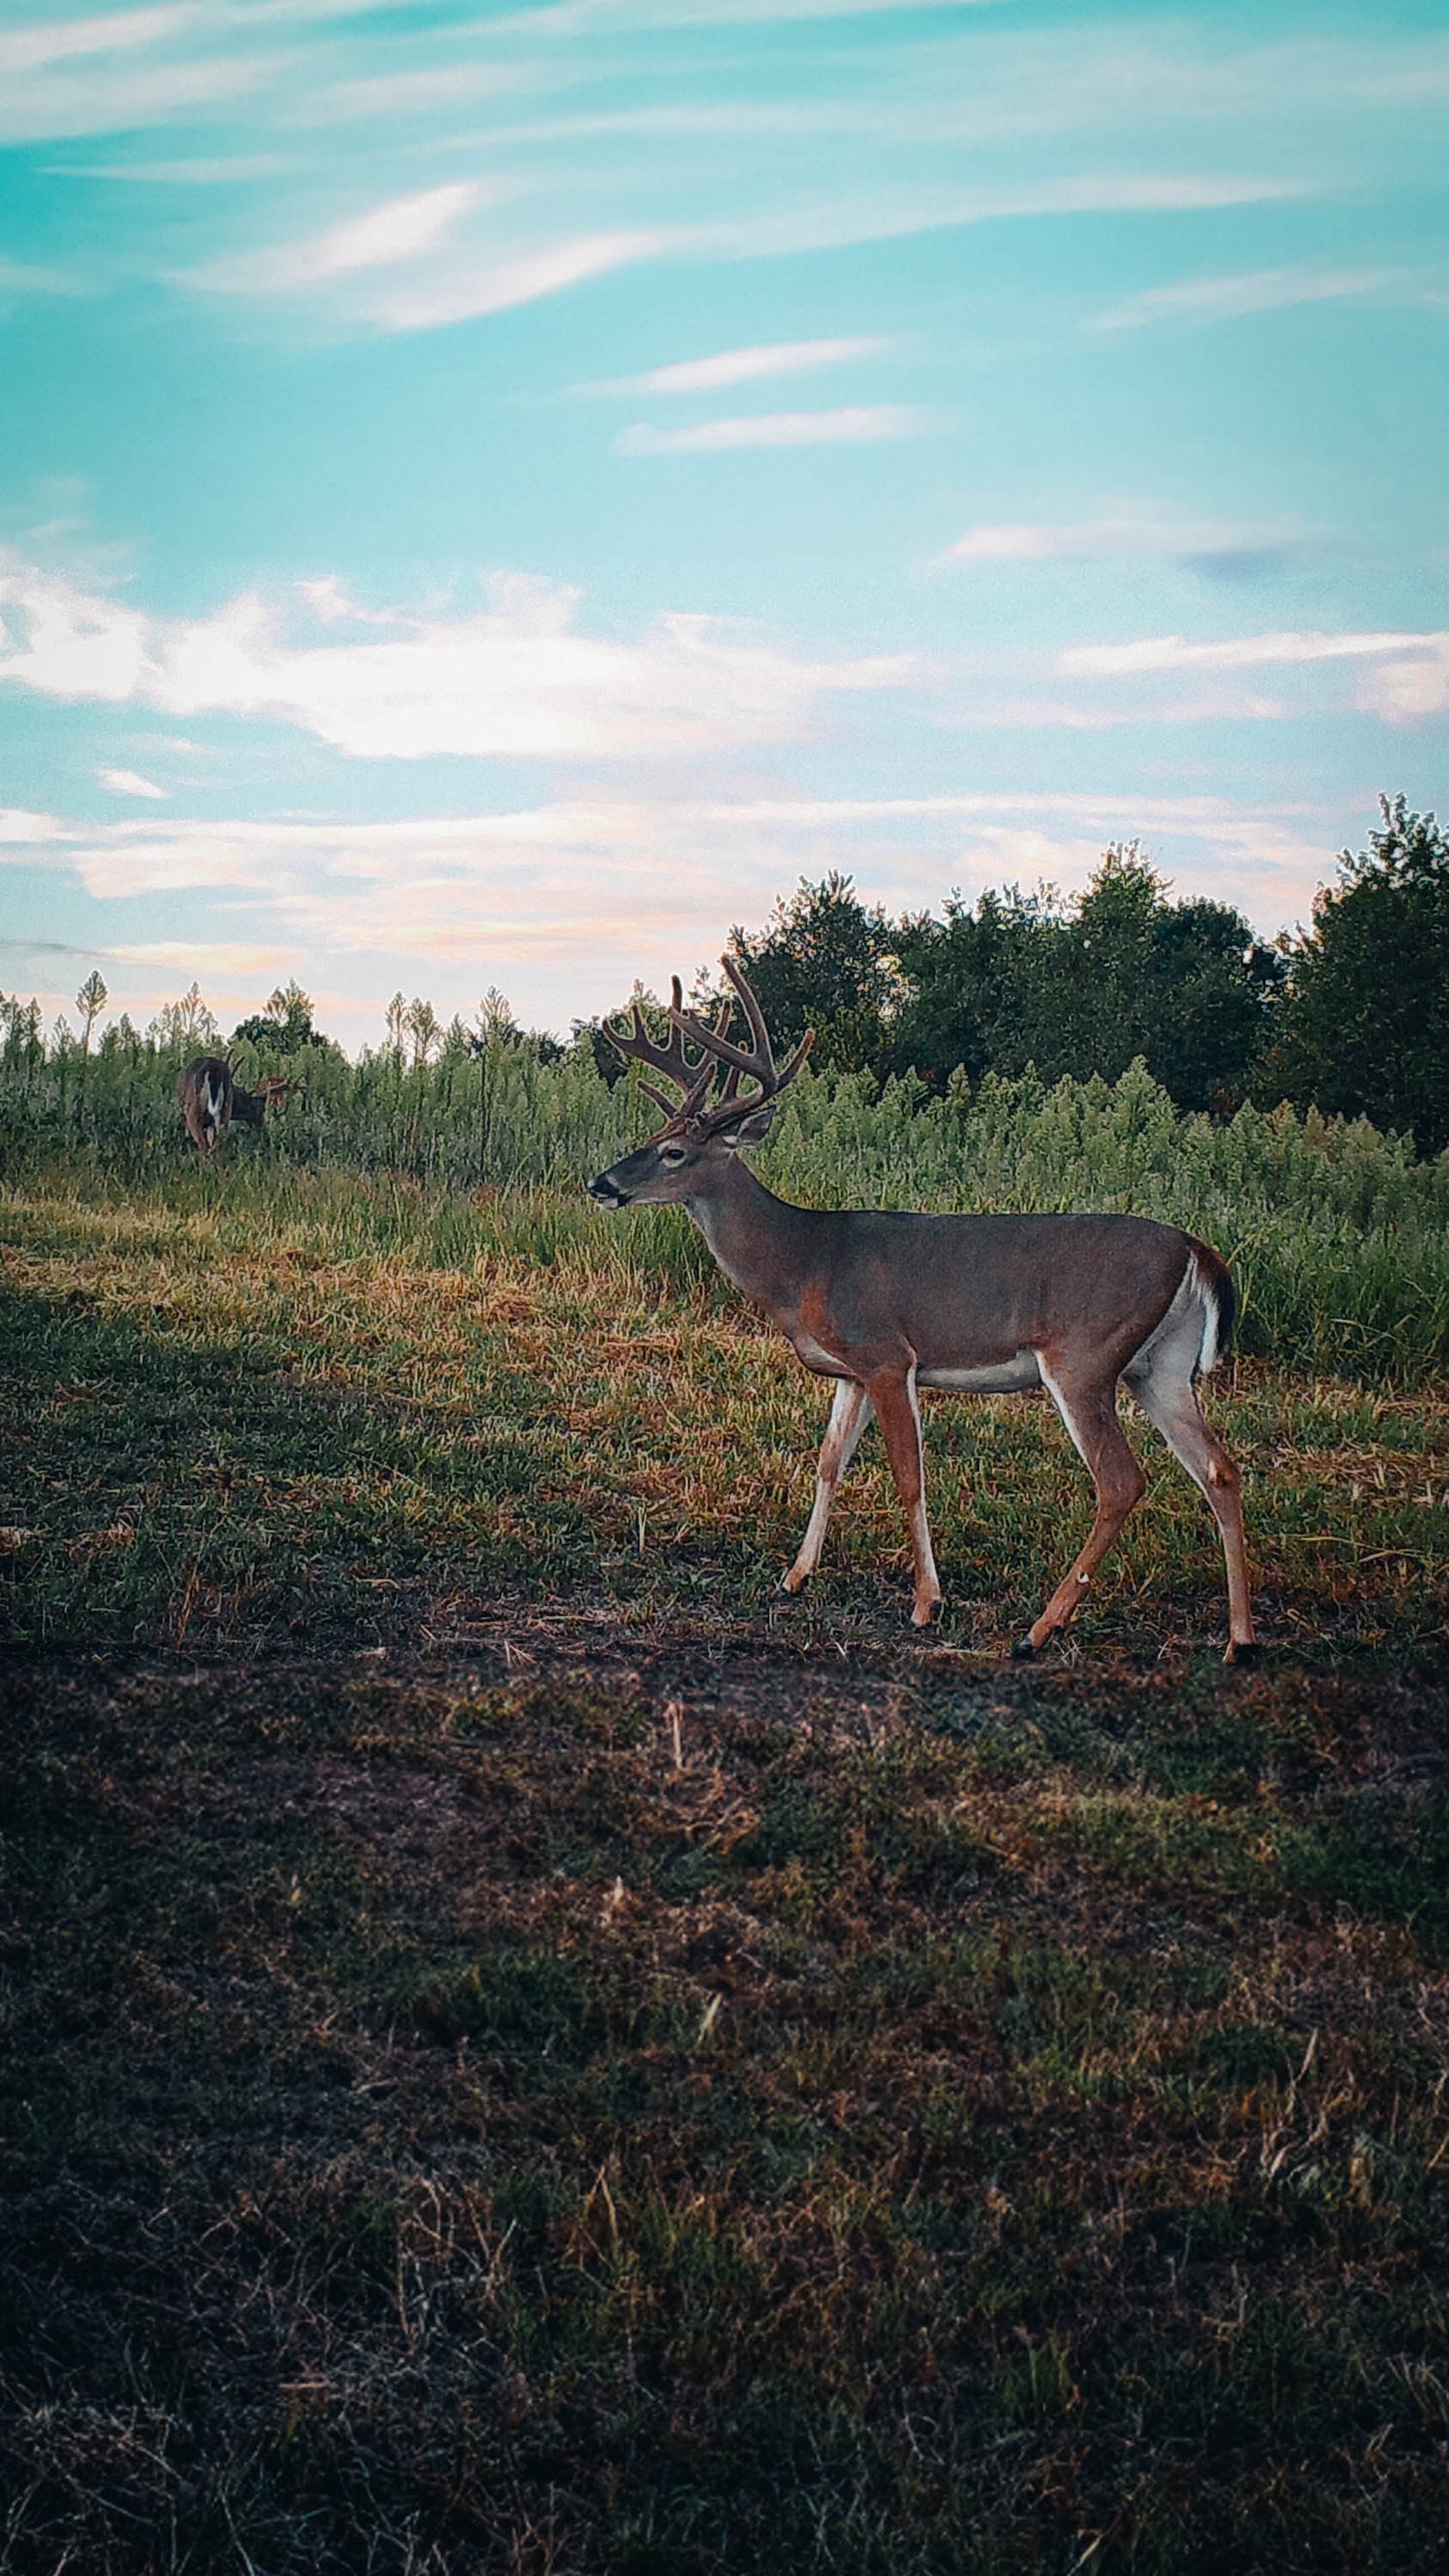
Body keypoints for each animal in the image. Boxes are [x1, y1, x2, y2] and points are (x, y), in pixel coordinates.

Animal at [177, 1056, 297, 1154]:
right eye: (262, 1109)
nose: (263, 1128)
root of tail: (213, 1071)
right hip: (225, 1110)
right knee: (218, 1143)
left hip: (193, 1112)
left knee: (204, 1145)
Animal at [588, 959, 1256, 1662]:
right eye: (654, 1135)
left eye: (675, 1153)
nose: (601, 1184)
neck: (803, 1262)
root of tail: (1196, 1249)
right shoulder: (850, 1370)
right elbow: (827, 1463)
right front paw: (795, 1576)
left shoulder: (887, 1354)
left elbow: (909, 1475)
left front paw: (925, 1604)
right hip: (1161, 1366)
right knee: (1219, 1468)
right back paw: (1239, 1638)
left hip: (1084, 1356)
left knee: (1121, 1481)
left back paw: (1040, 1629)